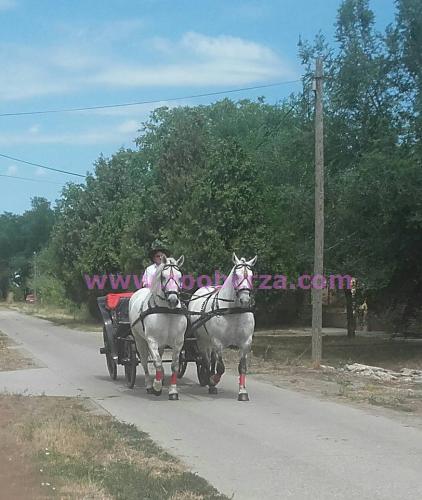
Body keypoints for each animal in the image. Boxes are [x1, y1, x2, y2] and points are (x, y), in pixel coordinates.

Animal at [129, 256, 186, 400]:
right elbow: (158, 363)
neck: (167, 311)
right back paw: (149, 385)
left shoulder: (178, 342)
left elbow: (174, 365)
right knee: (144, 361)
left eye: (180, 277)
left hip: (161, 344)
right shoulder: (152, 340)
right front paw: (157, 387)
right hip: (139, 340)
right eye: (163, 277)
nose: (173, 300)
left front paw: (173, 391)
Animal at [189, 254, 258, 402]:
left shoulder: (246, 343)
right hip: (203, 340)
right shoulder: (218, 342)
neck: (233, 311)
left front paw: (242, 392)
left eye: (251, 276)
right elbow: (221, 368)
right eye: (236, 276)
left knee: (212, 360)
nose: (245, 300)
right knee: (206, 361)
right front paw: (213, 380)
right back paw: (209, 381)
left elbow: (242, 367)